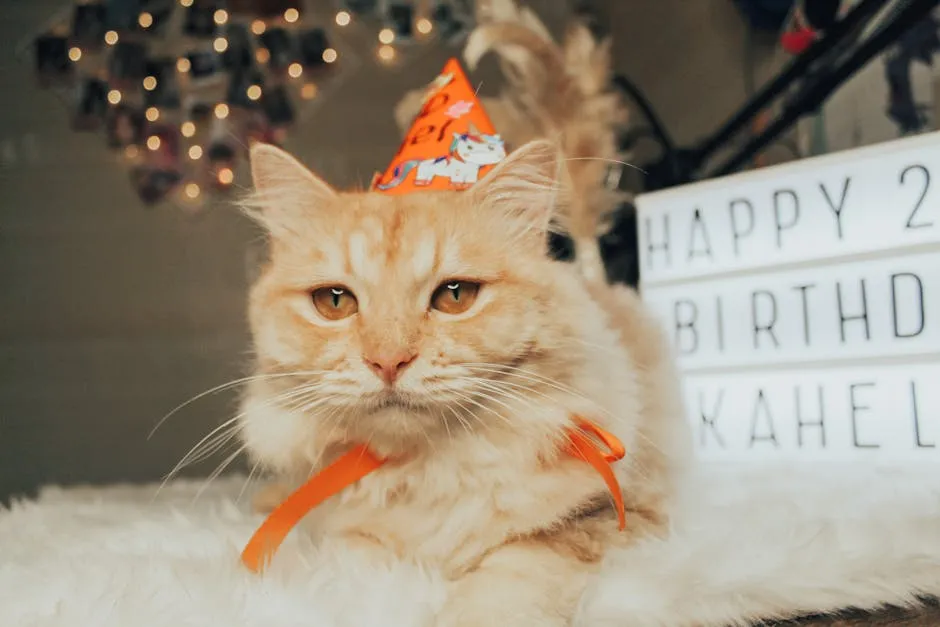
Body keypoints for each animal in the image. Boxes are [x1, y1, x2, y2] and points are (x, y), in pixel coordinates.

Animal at [239, 140, 688, 624]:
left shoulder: (613, 514)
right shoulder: (346, 535)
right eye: (334, 301)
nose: (388, 362)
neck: (428, 472)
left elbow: (514, 576)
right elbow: (360, 567)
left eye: (455, 295)